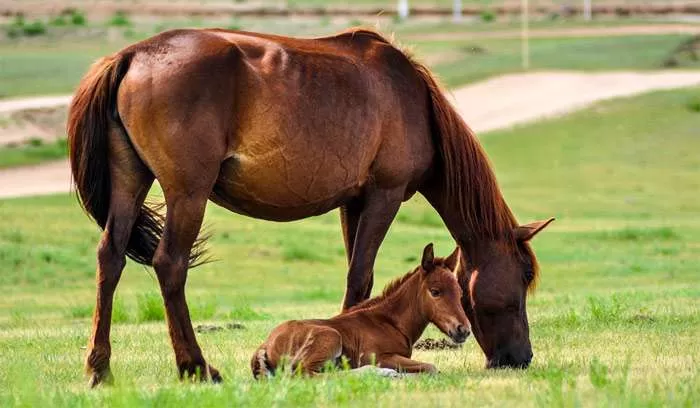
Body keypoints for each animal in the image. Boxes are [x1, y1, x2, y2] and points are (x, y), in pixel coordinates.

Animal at [252, 242, 470, 380]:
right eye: (435, 291)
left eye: (460, 293)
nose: (464, 330)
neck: (390, 322)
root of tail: (265, 345)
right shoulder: (378, 356)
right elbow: (431, 368)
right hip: (330, 337)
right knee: (305, 374)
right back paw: (381, 373)